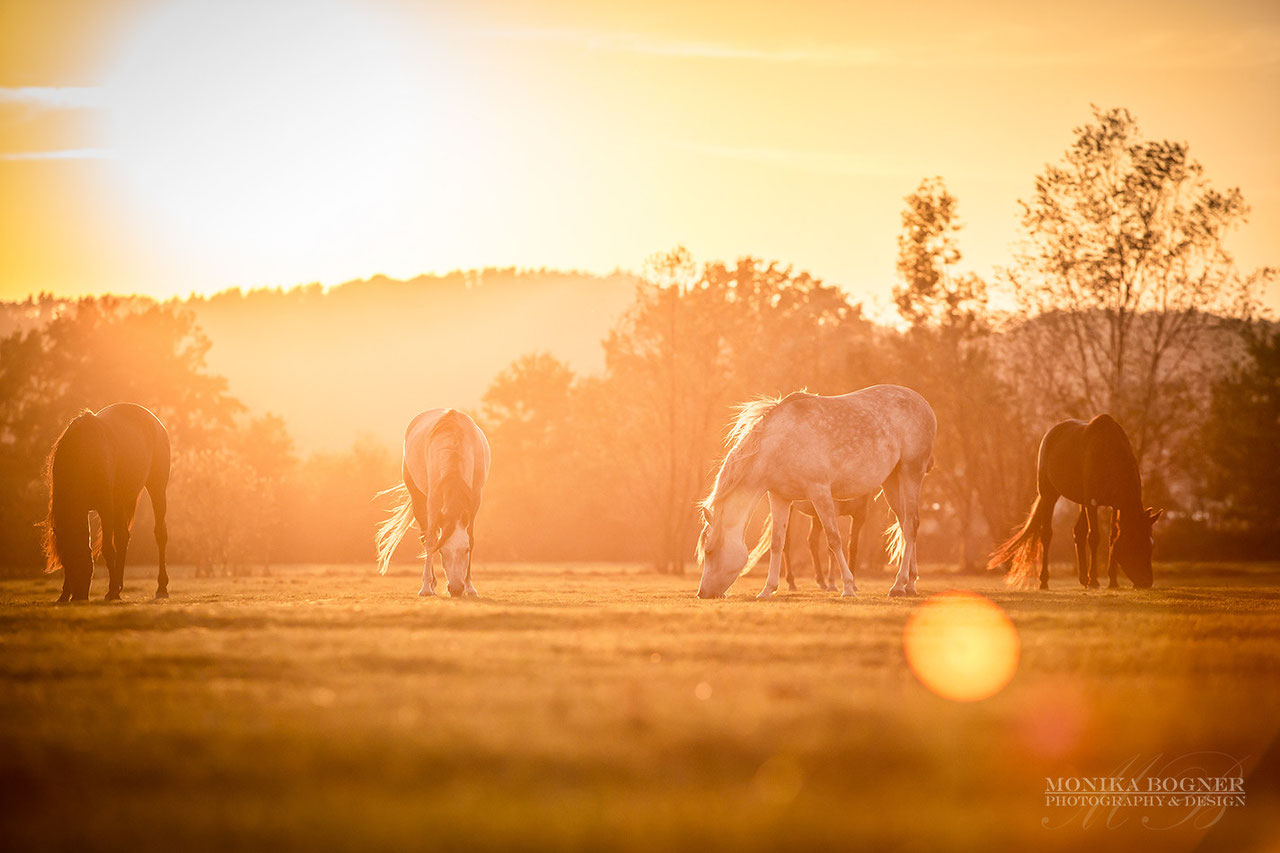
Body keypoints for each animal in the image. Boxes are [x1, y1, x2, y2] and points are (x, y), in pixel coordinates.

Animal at [42, 403, 171, 602]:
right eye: (67, 561)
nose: (79, 596)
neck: (85, 452)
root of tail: (155, 422)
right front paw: (64, 595)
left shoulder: (105, 508)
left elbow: (107, 549)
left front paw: (111, 591)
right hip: (121, 501)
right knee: (123, 537)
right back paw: (118, 586)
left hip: (157, 489)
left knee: (160, 534)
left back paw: (161, 588)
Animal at [375, 408, 490, 597]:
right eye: (442, 551)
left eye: (466, 550)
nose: (456, 589)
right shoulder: (433, 499)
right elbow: (430, 541)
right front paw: (426, 587)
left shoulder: (475, 500)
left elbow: (471, 538)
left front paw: (470, 587)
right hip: (418, 499)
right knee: (425, 536)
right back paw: (431, 583)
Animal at [697, 385, 936, 599]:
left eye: (709, 551)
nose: (703, 593)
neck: (779, 444)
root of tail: (923, 403)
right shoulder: (780, 497)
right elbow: (777, 543)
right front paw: (767, 590)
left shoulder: (819, 492)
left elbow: (834, 540)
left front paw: (848, 587)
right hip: (891, 481)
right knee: (905, 524)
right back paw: (910, 583)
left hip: (911, 472)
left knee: (911, 525)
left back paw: (899, 585)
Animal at [987, 414, 1162, 590]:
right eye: (1135, 543)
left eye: (1151, 545)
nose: (1146, 582)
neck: (1108, 452)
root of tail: (1051, 433)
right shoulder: (1092, 503)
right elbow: (1094, 537)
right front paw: (1094, 580)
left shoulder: (1115, 505)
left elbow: (1112, 537)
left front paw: (1112, 581)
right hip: (1049, 494)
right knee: (1047, 534)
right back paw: (1045, 581)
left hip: (1080, 502)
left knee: (1078, 532)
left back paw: (1083, 579)